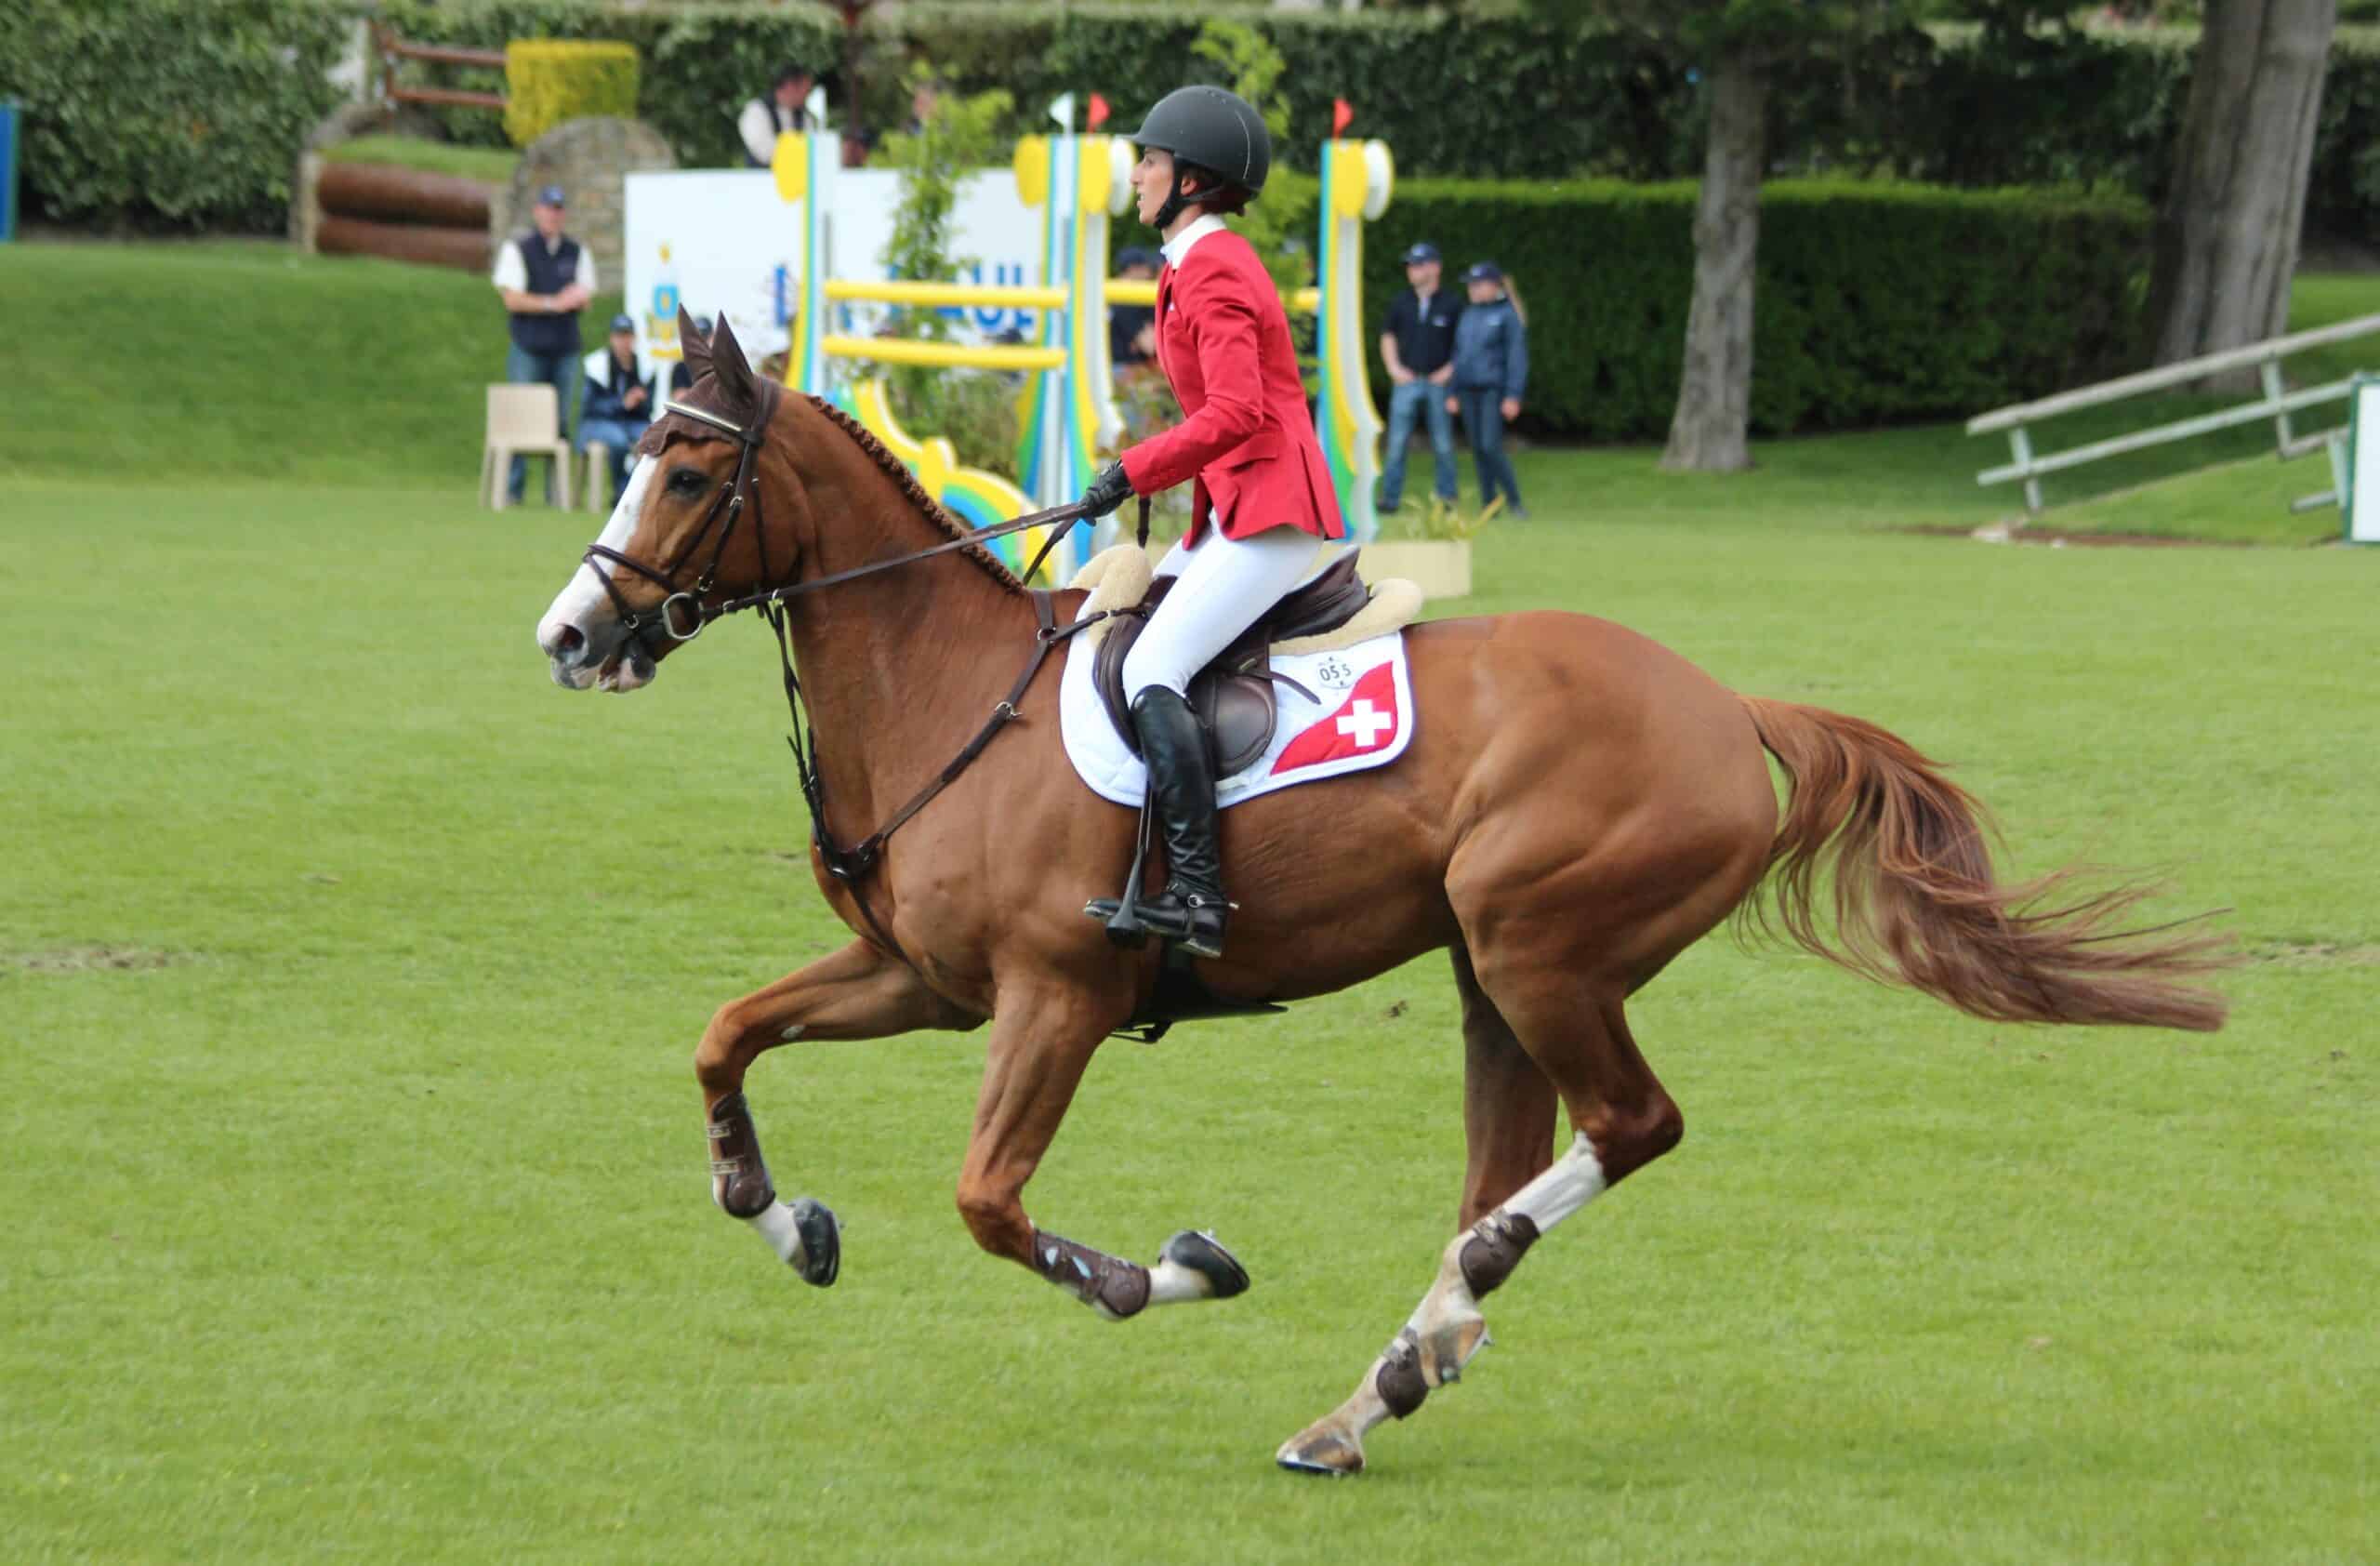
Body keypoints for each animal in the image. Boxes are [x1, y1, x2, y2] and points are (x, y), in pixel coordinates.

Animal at [532, 316, 2229, 1475]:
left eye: (691, 468)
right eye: (636, 452)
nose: (568, 635)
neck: (953, 688)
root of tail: (1723, 702)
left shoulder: (1053, 999)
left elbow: (991, 1202)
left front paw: (1161, 1272)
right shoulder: (925, 982)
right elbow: (725, 1035)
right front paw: (782, 1217)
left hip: (1543, 948)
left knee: (1626, 1131)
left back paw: (1422, 1343)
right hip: (1494, 973)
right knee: (1506, 1175)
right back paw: (1378, 1389)